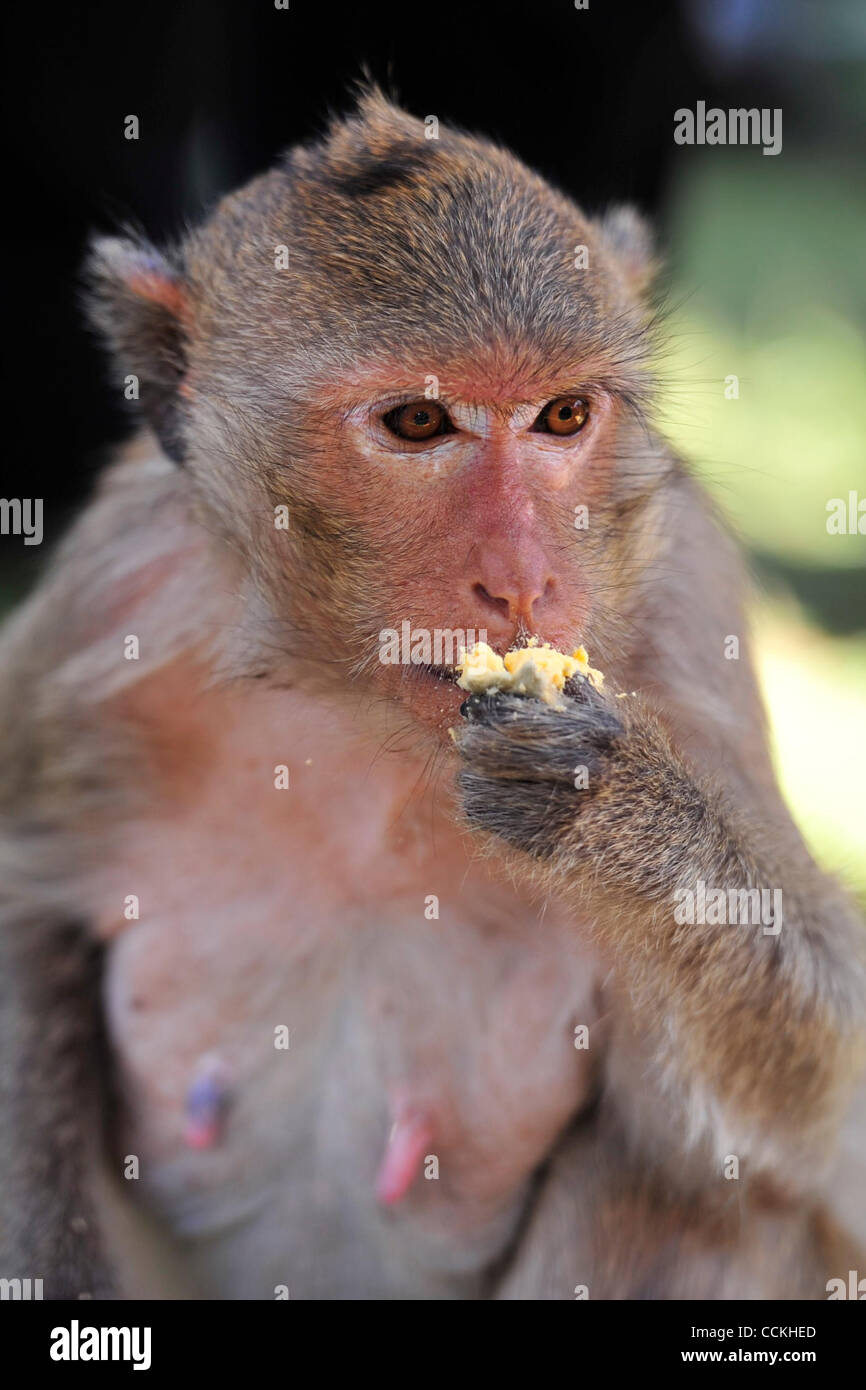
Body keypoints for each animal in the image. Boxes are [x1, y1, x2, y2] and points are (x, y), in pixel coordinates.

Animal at [0, 87, 864, 1301]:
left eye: (563, 416)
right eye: (418, 423)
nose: (524, 580)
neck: (359, 710)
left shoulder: (690, 607)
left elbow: (826, 1100)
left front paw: (599, 799)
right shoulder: (107, 599)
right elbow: (23, 914)